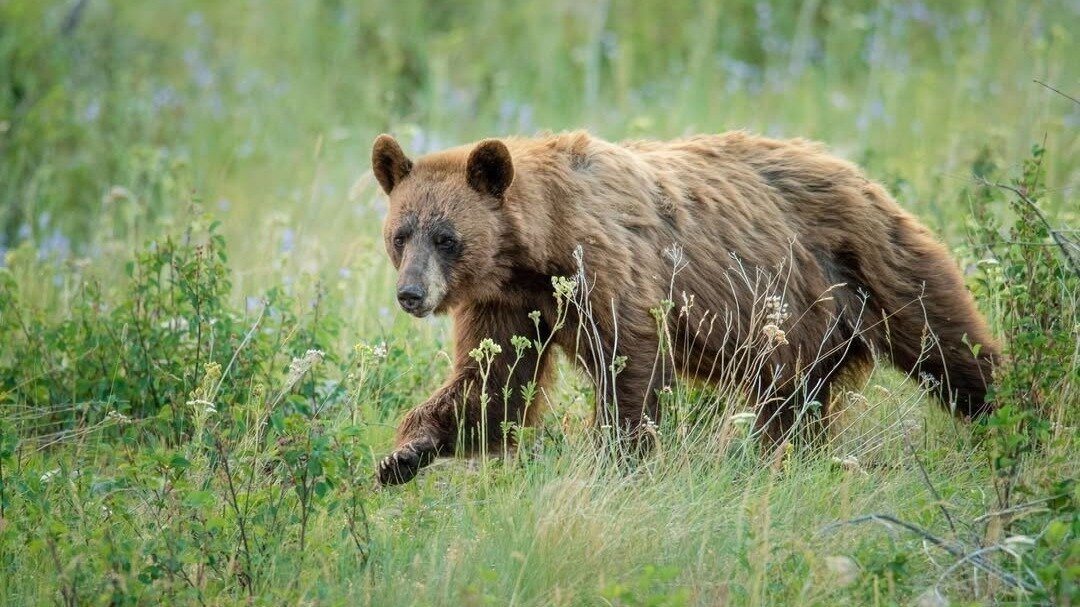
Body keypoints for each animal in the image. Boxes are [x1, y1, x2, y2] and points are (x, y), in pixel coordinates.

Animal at [370, 130, 1000, 486]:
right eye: (401, 234)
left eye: (446, 237)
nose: (411, 294)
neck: (536, 248)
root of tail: (859, 174)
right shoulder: (508, 302)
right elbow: (493, 384)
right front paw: (402, 456)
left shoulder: (608, 266)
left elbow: (632, 363)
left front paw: (619, 460)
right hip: (803, 332)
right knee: (792, 405)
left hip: (865, 264)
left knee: (946, 342)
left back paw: (1008, 411)